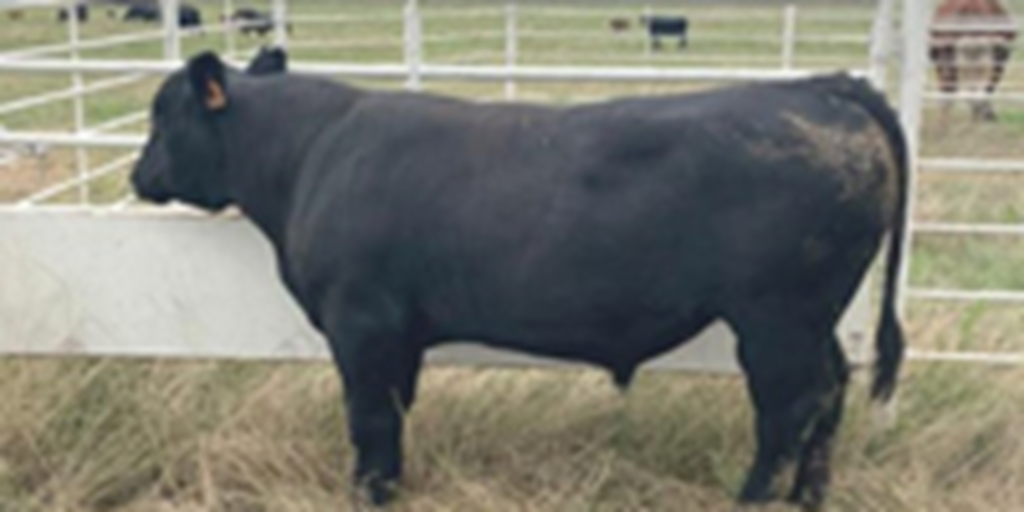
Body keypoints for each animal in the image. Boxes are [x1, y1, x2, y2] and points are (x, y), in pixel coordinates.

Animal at [130, 47, 907, 511]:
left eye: (163, 116)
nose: (138, 175)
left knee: (790, 408)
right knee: (832, 392)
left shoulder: (361, 324)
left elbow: (369, 420)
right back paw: (809, 498)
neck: (313, 153)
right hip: (810, 320)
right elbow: (394, 417)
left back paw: (753, 498)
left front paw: (368, 493)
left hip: (777, 317)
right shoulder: (397, 336)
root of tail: (824, 90)